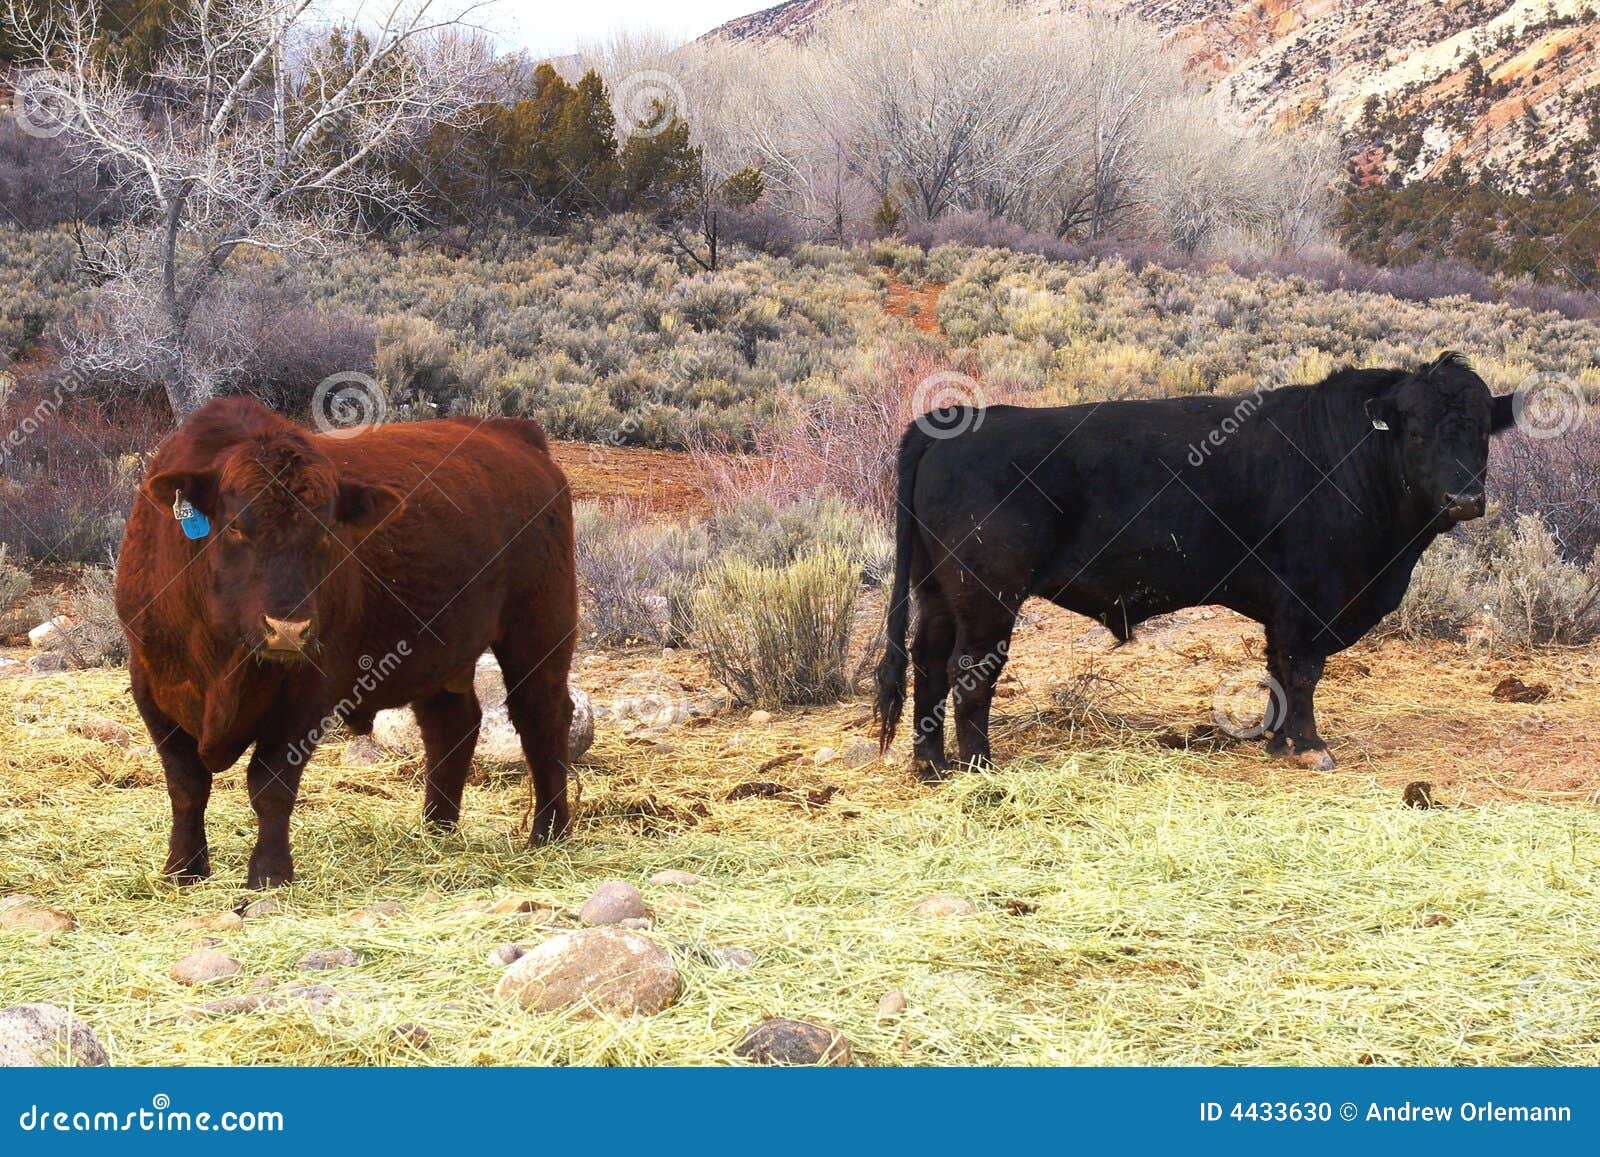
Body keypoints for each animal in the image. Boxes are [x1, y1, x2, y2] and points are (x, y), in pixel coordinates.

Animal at [115, 396, 577, 889]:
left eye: (325, 531)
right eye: (235, 526)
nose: (288, 628)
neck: (222, 658)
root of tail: (513, 434)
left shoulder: (307, 693)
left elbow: (271, 784)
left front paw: (269, 873)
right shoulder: (151, 684)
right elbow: (186, 784)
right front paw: (183, 868)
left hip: (539, 633)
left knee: (542, 717)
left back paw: (548, 832)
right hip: (445, 652)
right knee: (452, 724)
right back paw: (437, 828)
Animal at [875, 352, 1518, 778]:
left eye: (1483, 431)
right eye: (1416, 431)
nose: (1464, 498)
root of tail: (950, 425)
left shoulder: (1284, 609)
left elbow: (1278, 671)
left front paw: (1276, 741)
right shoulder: (1309, 598)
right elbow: (1303, 671)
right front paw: (1310, 747)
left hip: (936, 591)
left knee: (928, 663)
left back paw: (931, 765)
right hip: (986, 596)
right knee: (969, 670)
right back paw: (979, 766)